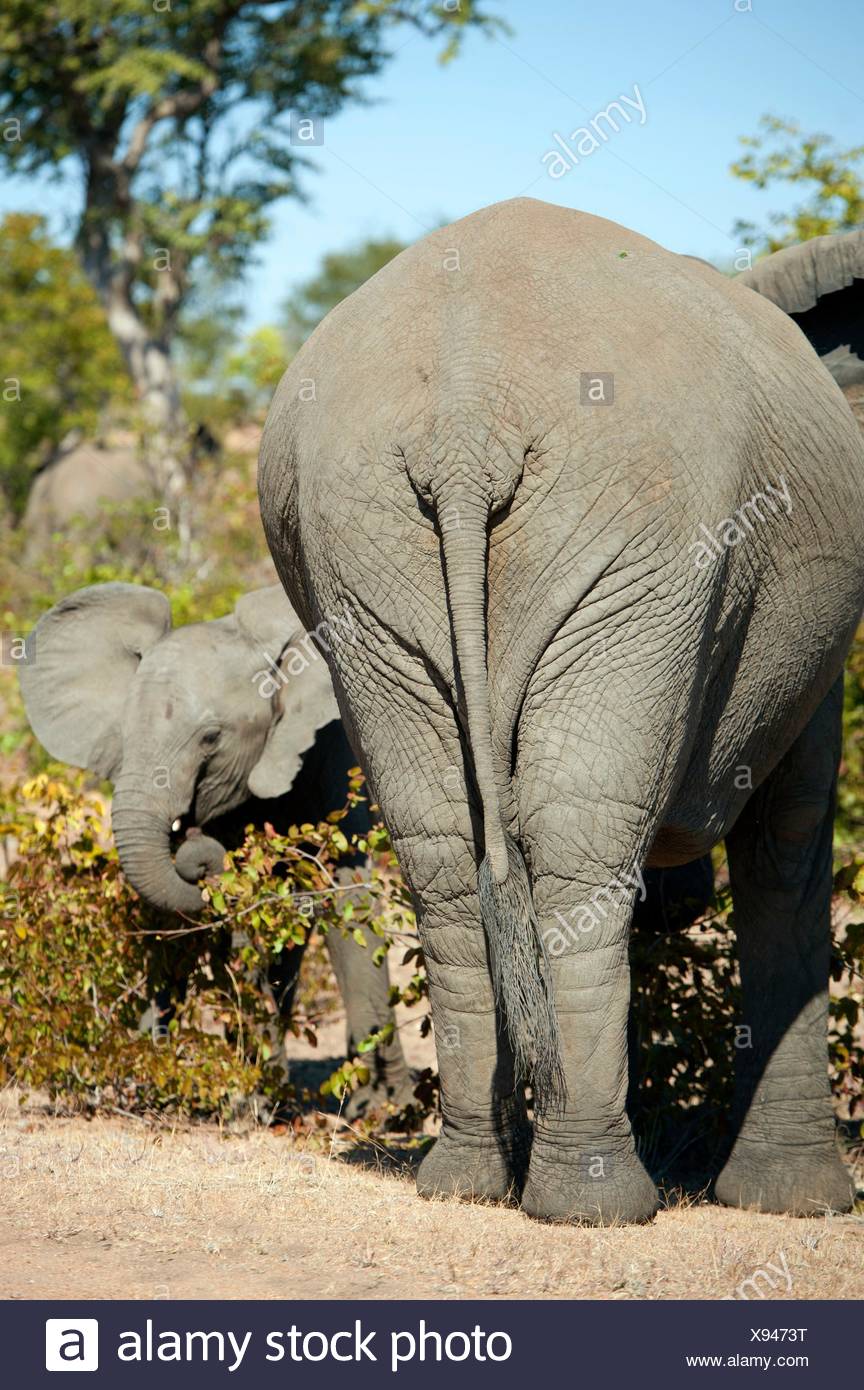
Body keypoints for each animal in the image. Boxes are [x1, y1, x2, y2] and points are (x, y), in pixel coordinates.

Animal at [18, 582, 413, 1116]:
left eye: (210, 738)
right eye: (122, 733)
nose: (193, 849)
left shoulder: (336, 742)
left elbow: (345, 889)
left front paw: (381, 1110)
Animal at [258, 197, 864, 1224]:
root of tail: (465, 418)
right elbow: (788, 839)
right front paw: (803, 1204)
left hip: (356, 546)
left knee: (443, 851)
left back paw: (468, 1180)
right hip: (646, 542)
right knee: (581, 843)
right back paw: (598, 1198)